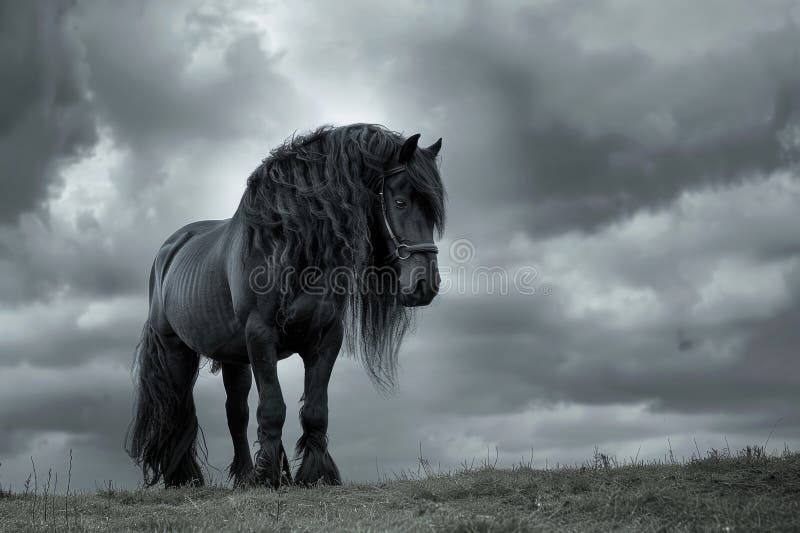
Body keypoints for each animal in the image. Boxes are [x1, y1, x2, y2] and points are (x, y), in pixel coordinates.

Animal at [126, 124, 445, 488]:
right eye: (400, 201)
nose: (426, 285)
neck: (290, 245)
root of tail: (170, 249)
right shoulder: (261, 336)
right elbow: (273, 408)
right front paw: (268, 476)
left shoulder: (326, 338)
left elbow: (315, 410)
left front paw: (315, 474)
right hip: (176, 348)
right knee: (179, 407)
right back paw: (185, 477)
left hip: (234, 357)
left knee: (235, 413)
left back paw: (243, 476)